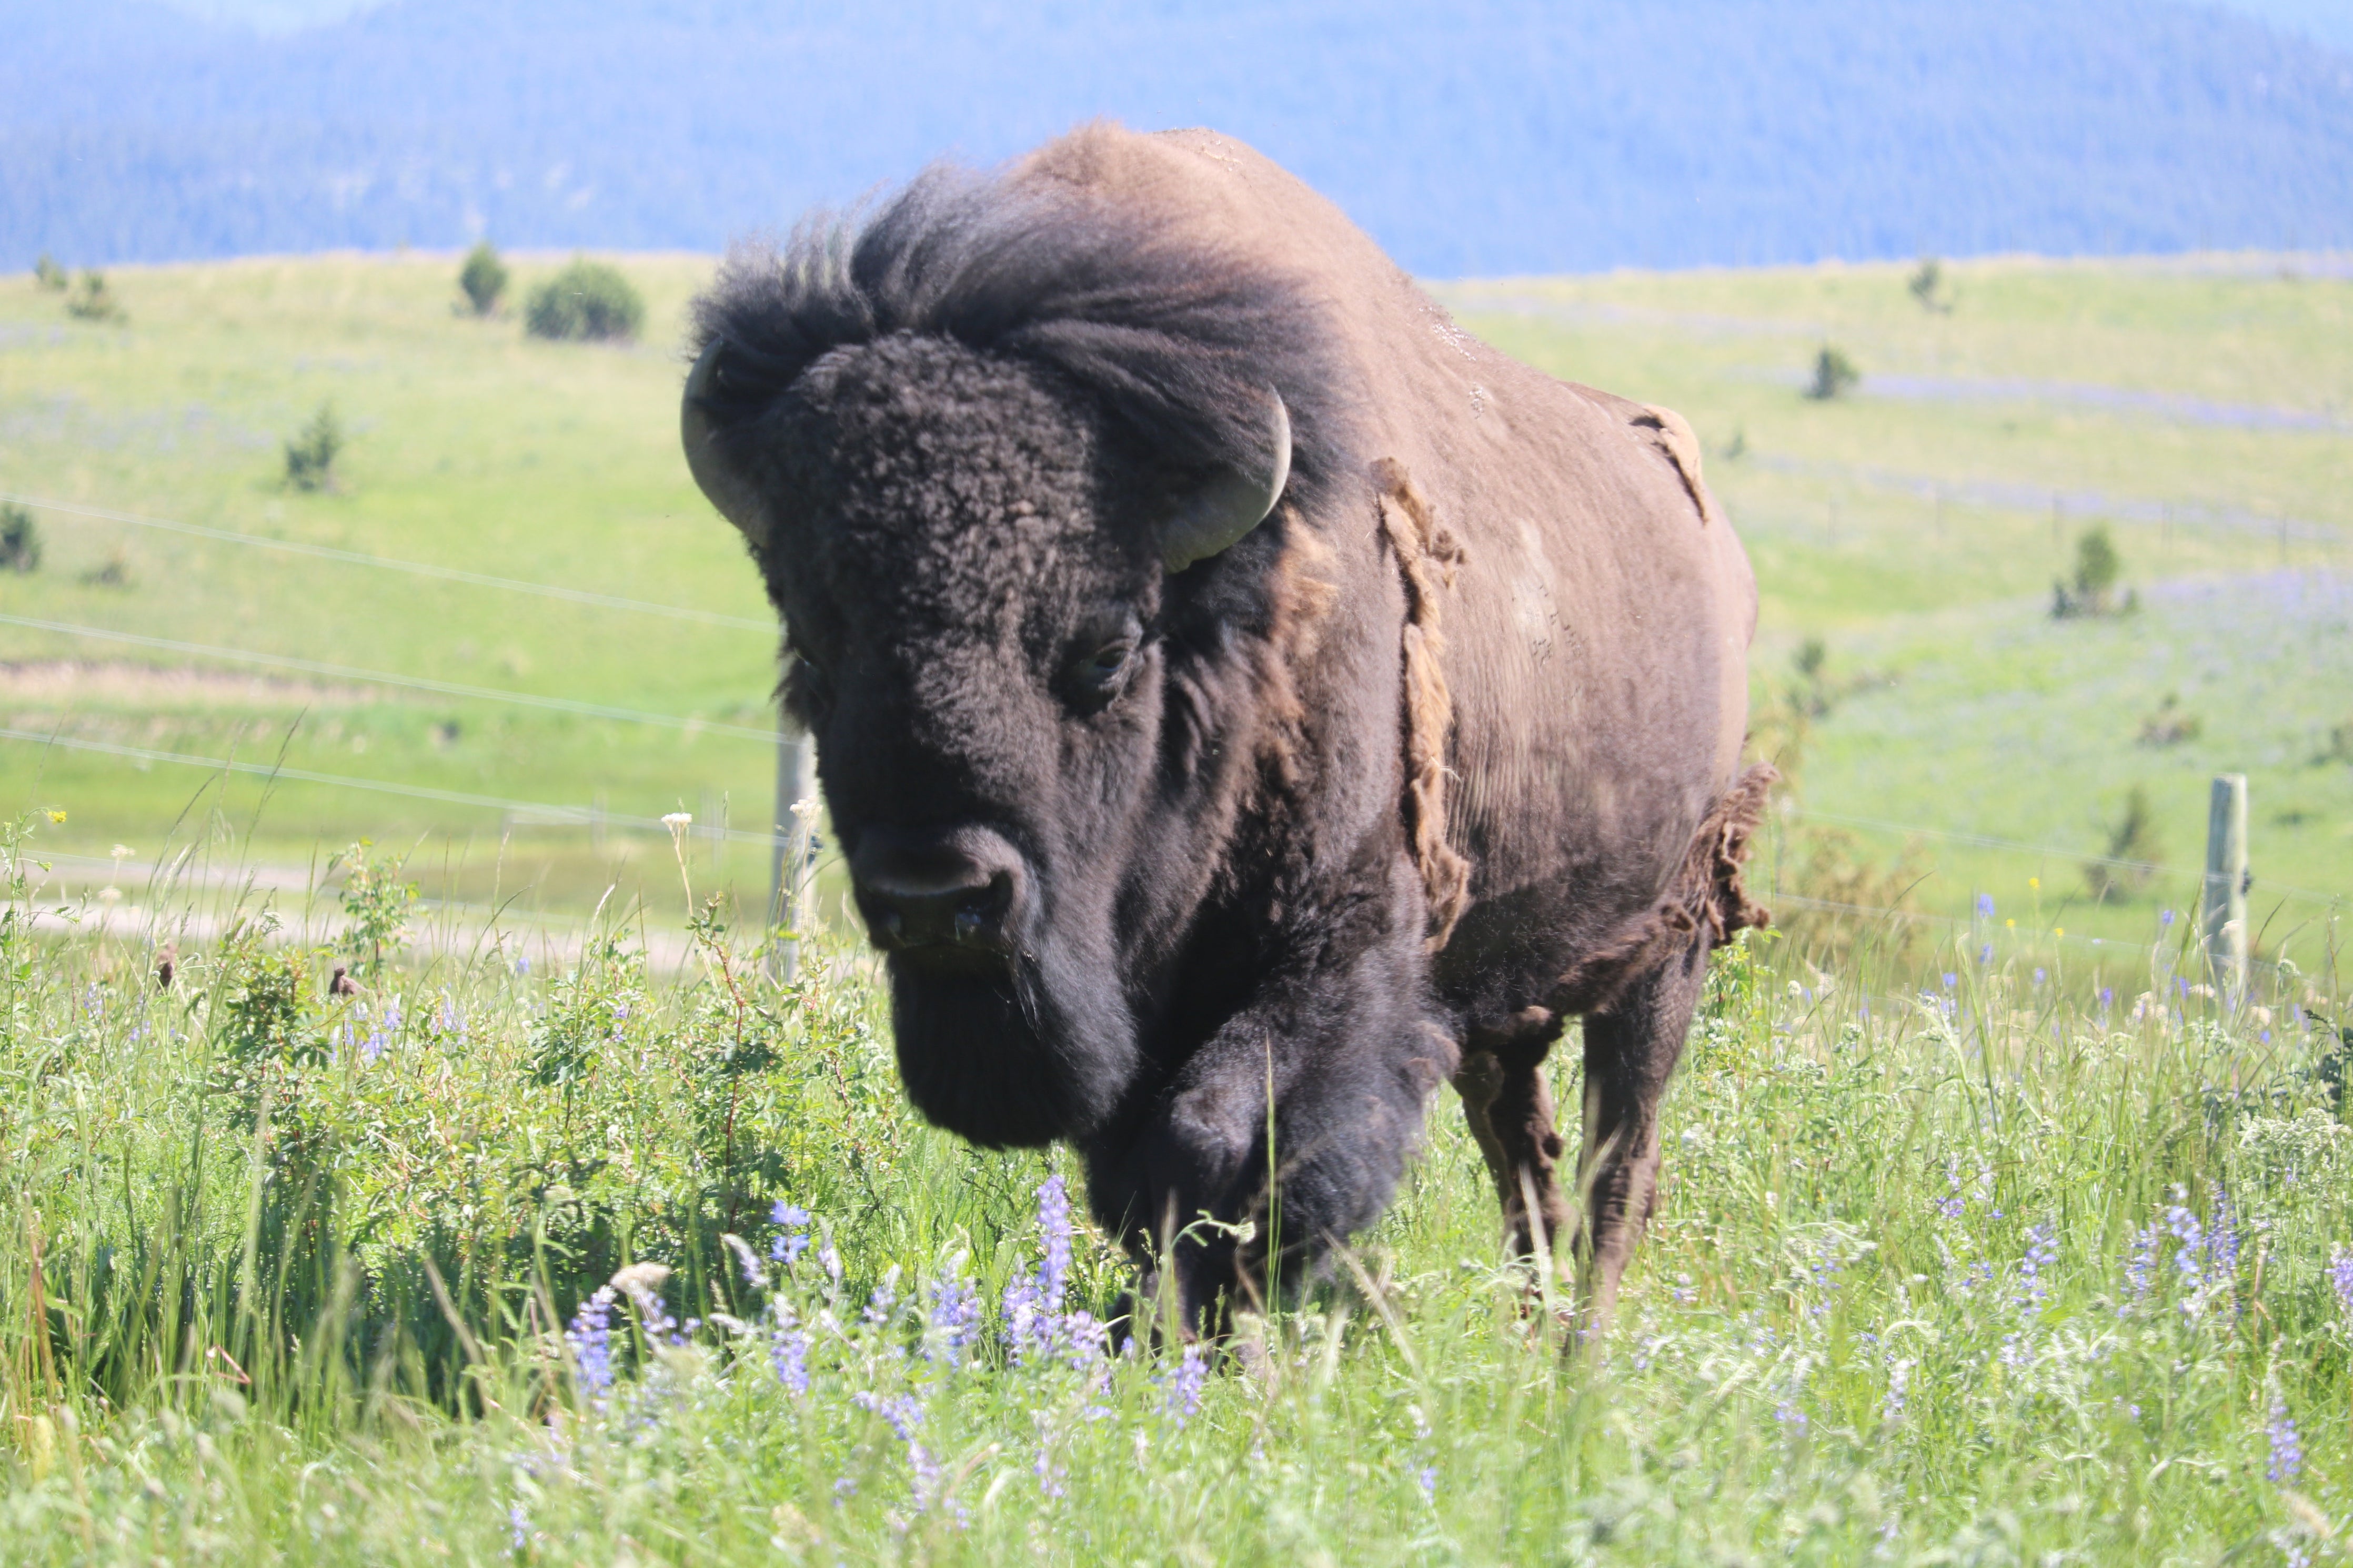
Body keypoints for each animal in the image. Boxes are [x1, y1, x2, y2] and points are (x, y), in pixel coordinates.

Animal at [681, 124, 1772, 1331]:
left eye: (1107, 650)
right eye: (815, 651)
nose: (936, 896)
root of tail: (1719, 549)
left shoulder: (1333, 955)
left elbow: (1223, 1147)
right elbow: (1143, 1177)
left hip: (1667, 944)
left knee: (1618, 1166)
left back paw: (1581, 1359)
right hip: (1506, 993)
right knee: (1524, 1157)